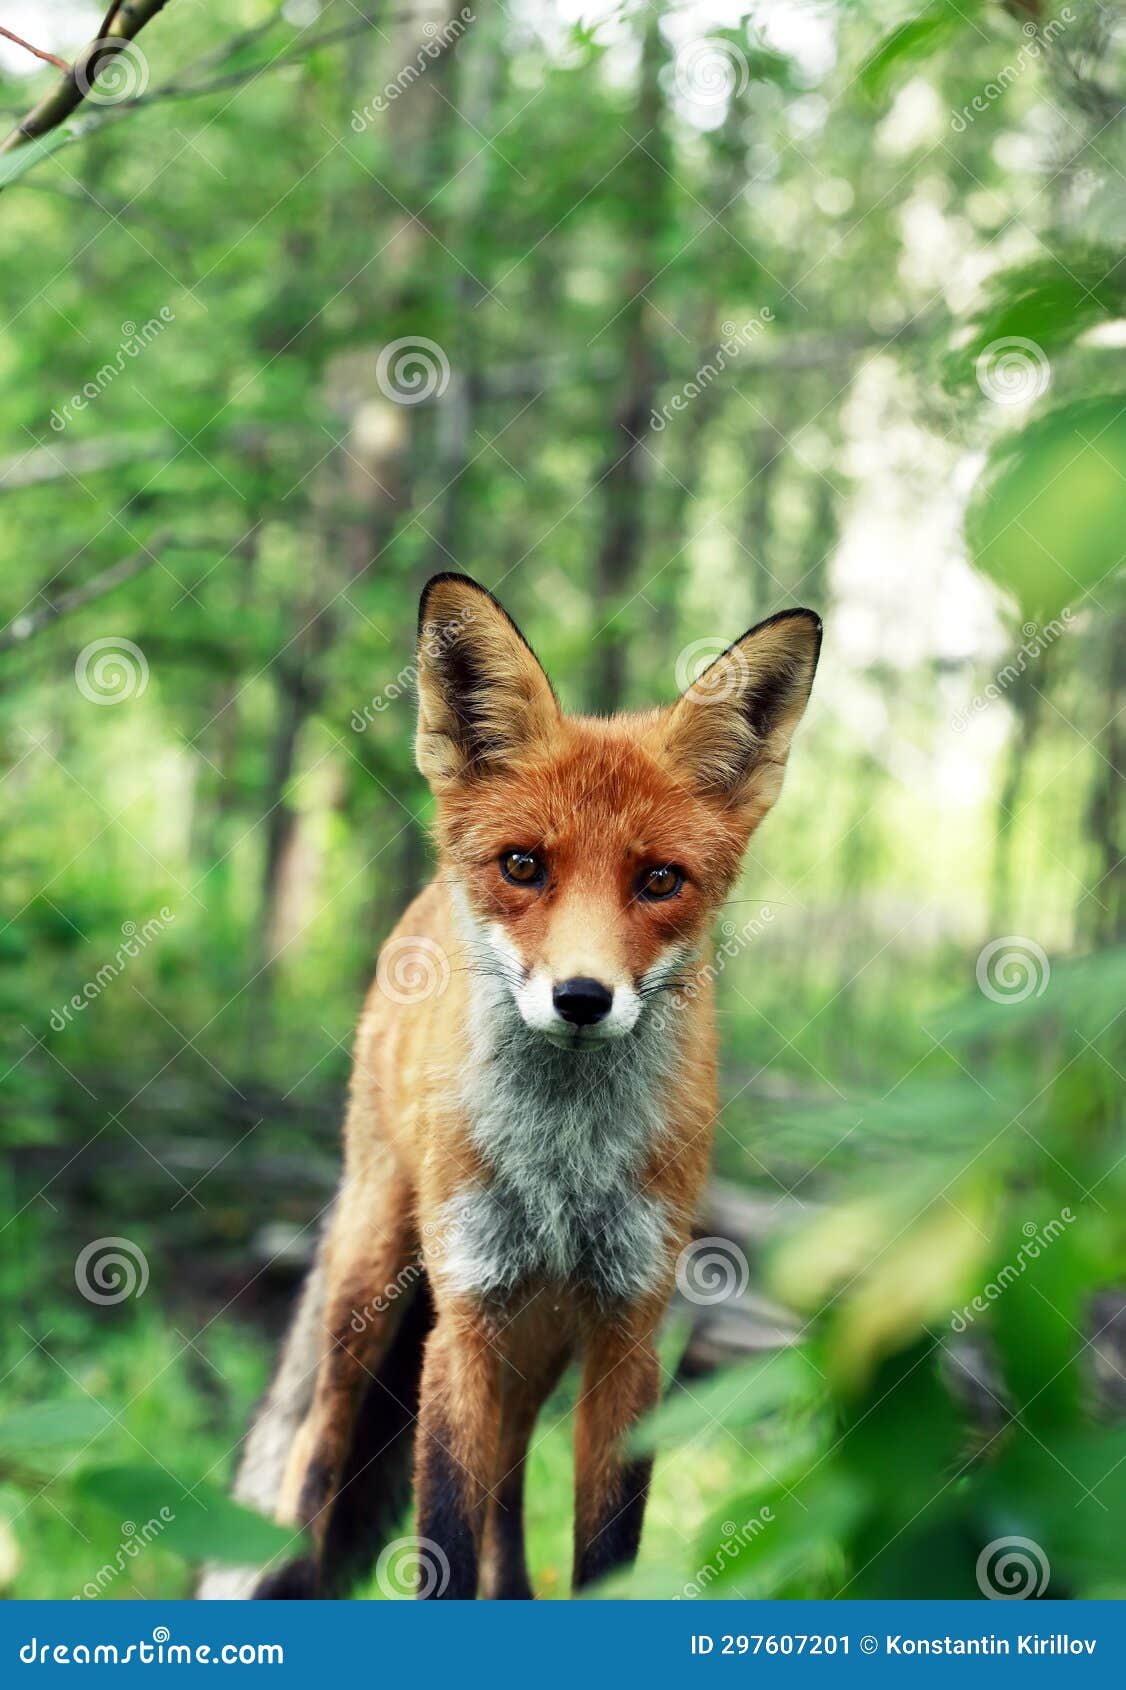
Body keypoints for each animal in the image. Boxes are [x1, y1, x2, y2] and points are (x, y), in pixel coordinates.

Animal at [199, 572, 821, 1601]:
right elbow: (442, 1541)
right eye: (524, 866)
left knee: (507, 1503)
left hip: (538, 1343)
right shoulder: (464, 1319)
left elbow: (600, 1552)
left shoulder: (628, 1328)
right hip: (373, 1287)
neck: (561, 1162)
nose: (581, 998)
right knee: (315, 1464)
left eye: (661, 881)